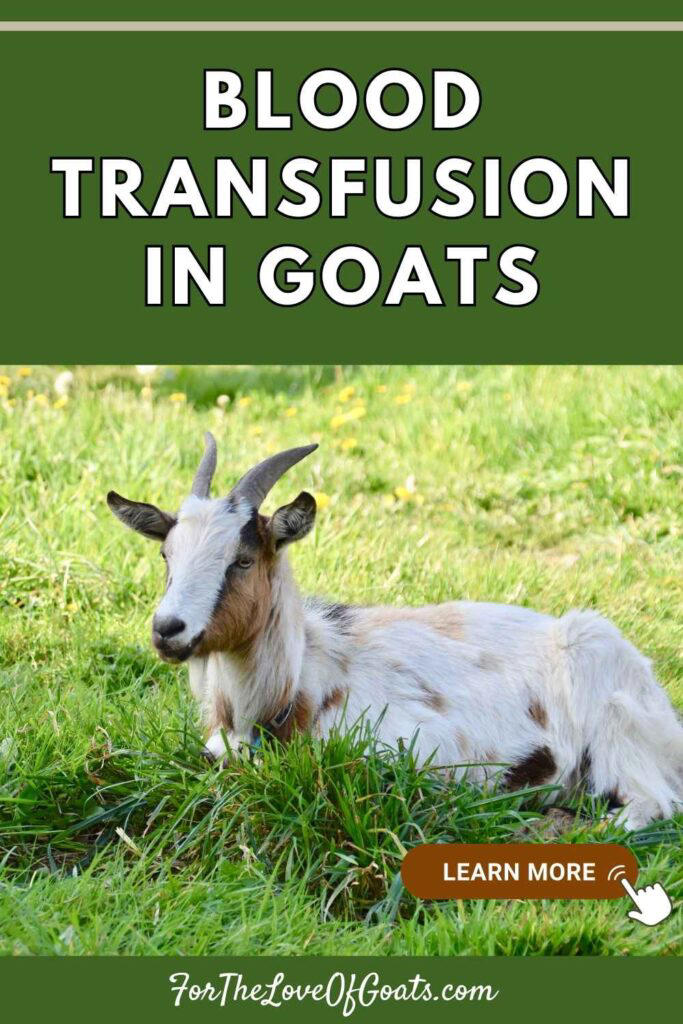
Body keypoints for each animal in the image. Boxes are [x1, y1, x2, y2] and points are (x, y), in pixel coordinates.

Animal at [107, 433, 683, 830]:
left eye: (243, 560)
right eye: (167, 555)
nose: (168, 629)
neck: (293, 685)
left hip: (614, 719)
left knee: (650, 803)